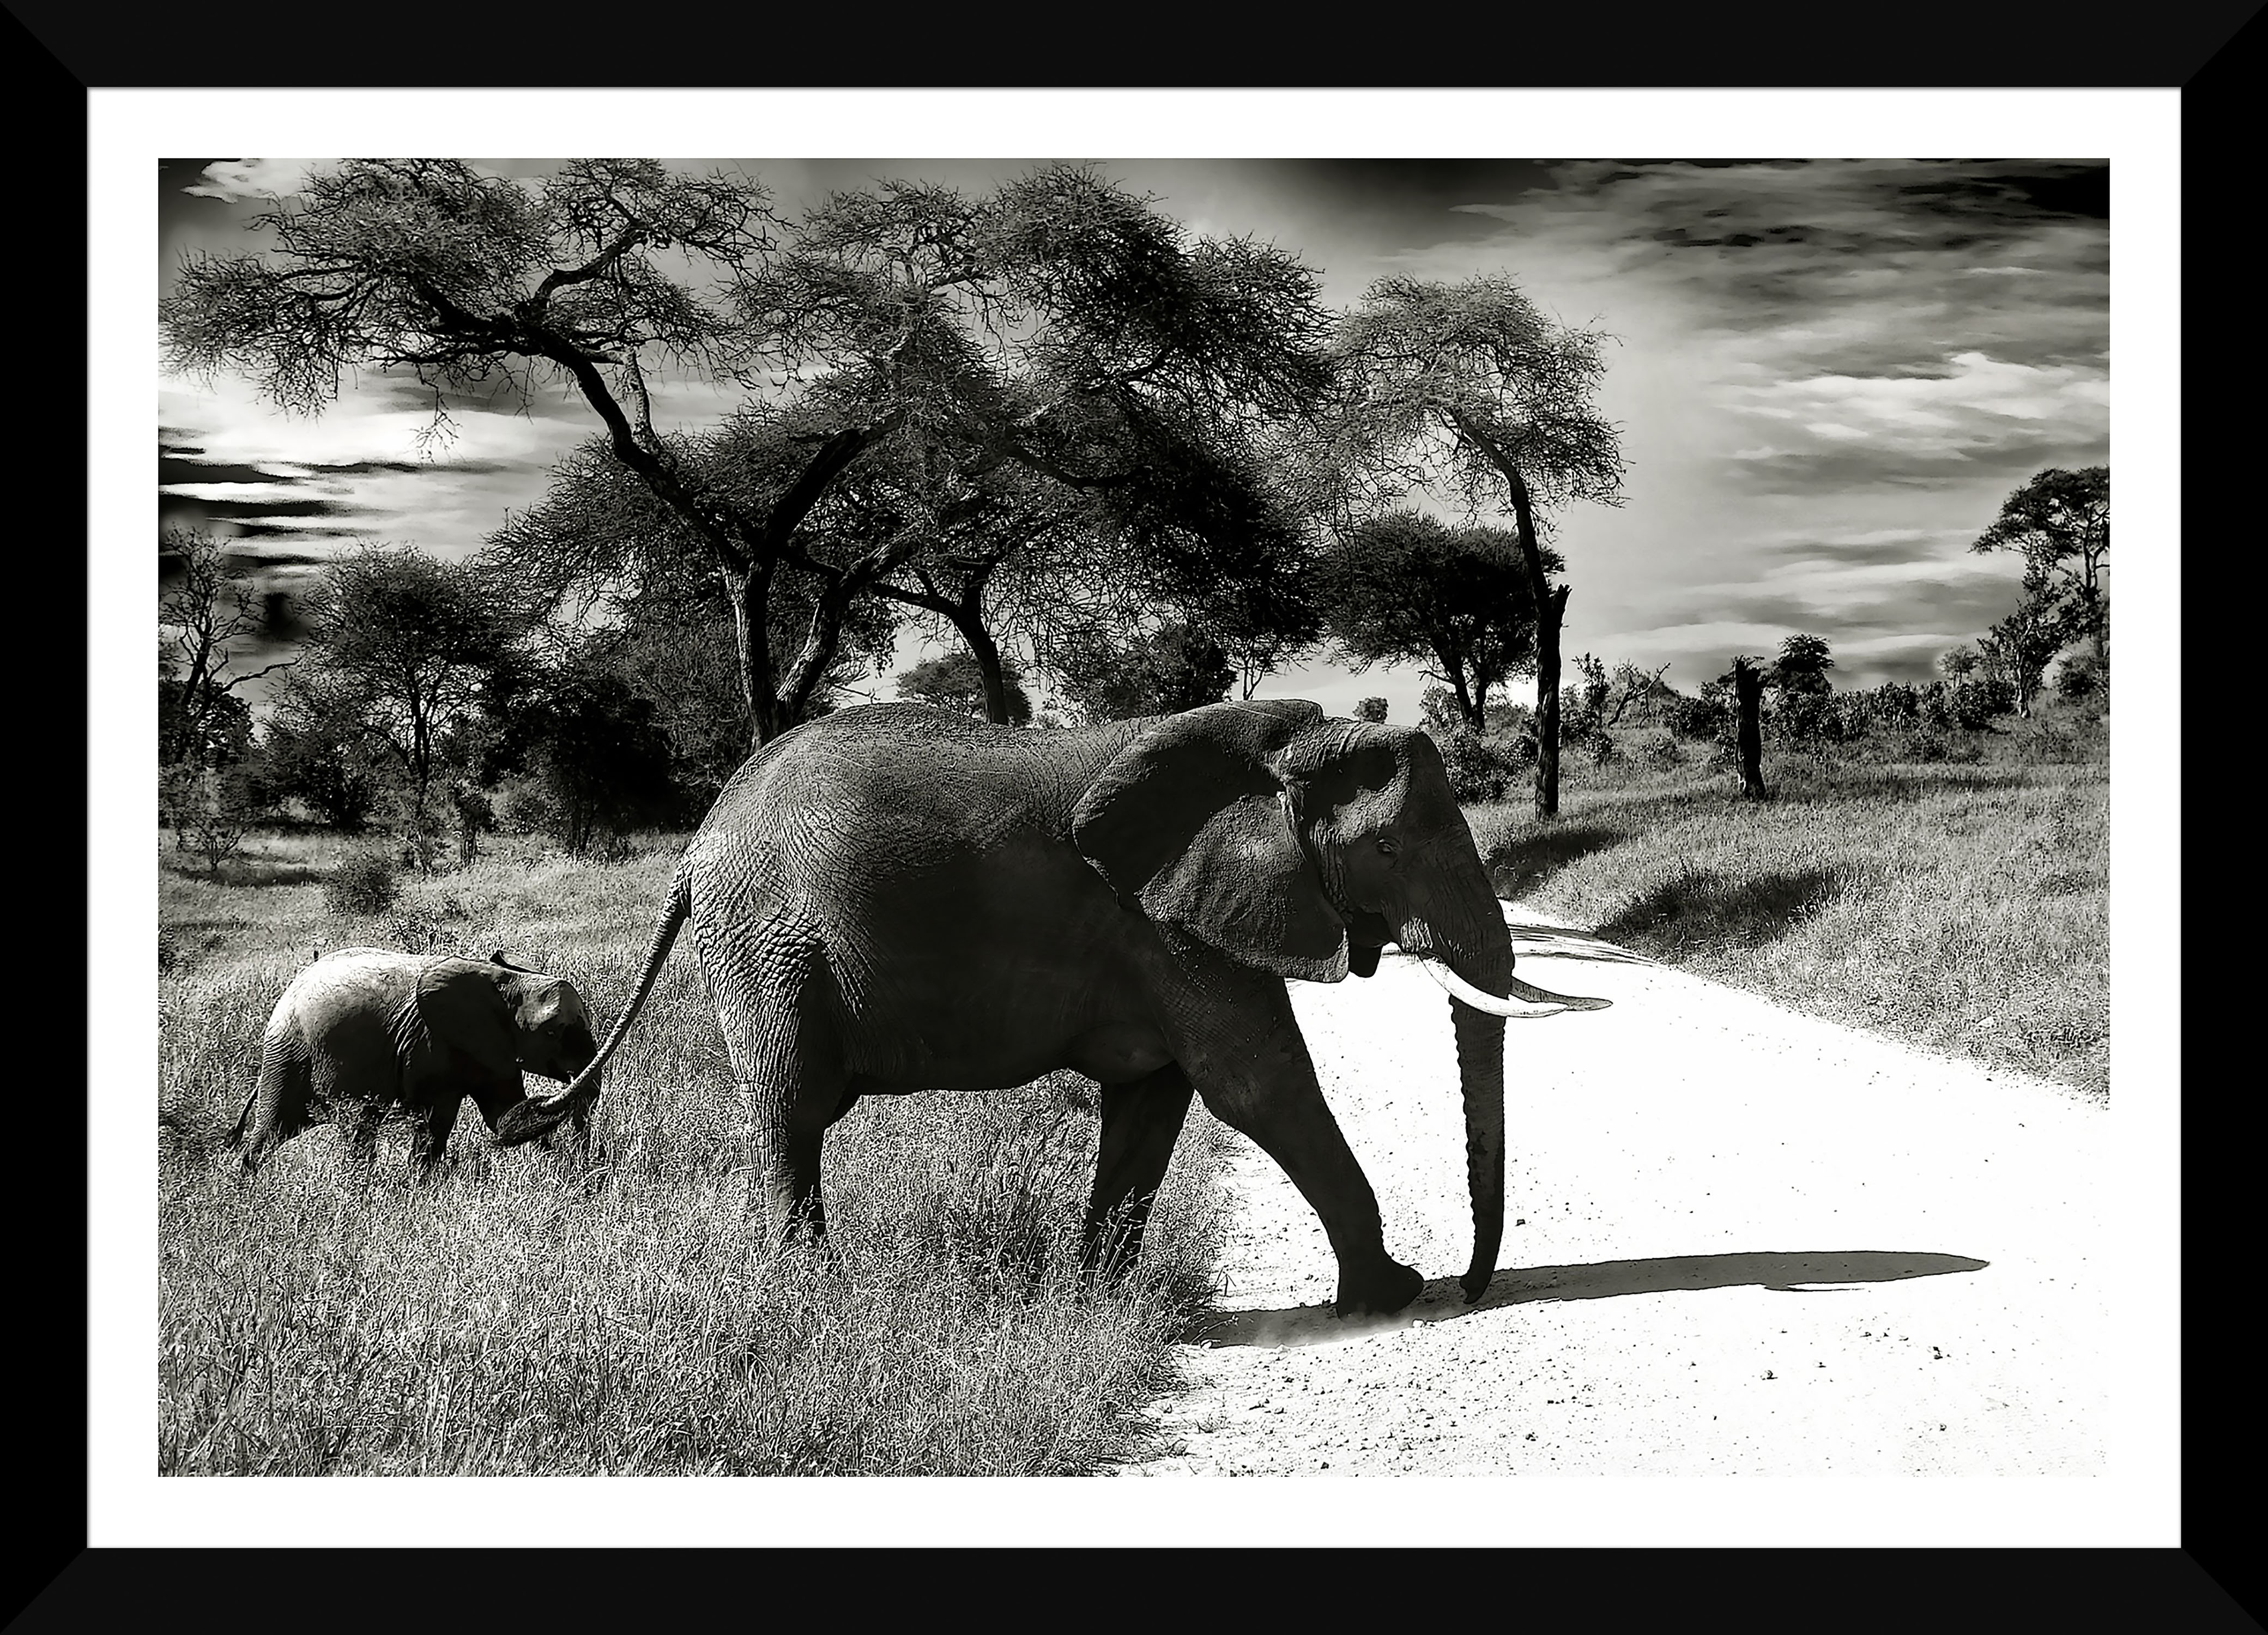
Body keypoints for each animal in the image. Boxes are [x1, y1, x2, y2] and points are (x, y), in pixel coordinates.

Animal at [232, 947, 601, 1179]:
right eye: (553, 1032)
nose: (584, 1160)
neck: (506, 980)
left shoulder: (491, 1045)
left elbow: (506, 1117)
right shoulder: (434, 1041)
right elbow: (438, 1117)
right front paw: (423, 1186)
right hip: (288, 1052)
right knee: (282, 1126)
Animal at [498, 699, 1606, 1317]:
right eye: (1385, 849)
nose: (1475, 1285)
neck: (1281, 741)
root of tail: (694, 848)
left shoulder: (1162, 927)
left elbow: (1158, 1100)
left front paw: (1094, 1304)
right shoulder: (1163, 921)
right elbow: (1258, 1087)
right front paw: (1393, 1297)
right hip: (767, 948)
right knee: (790, 1110)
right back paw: (807, 1292)